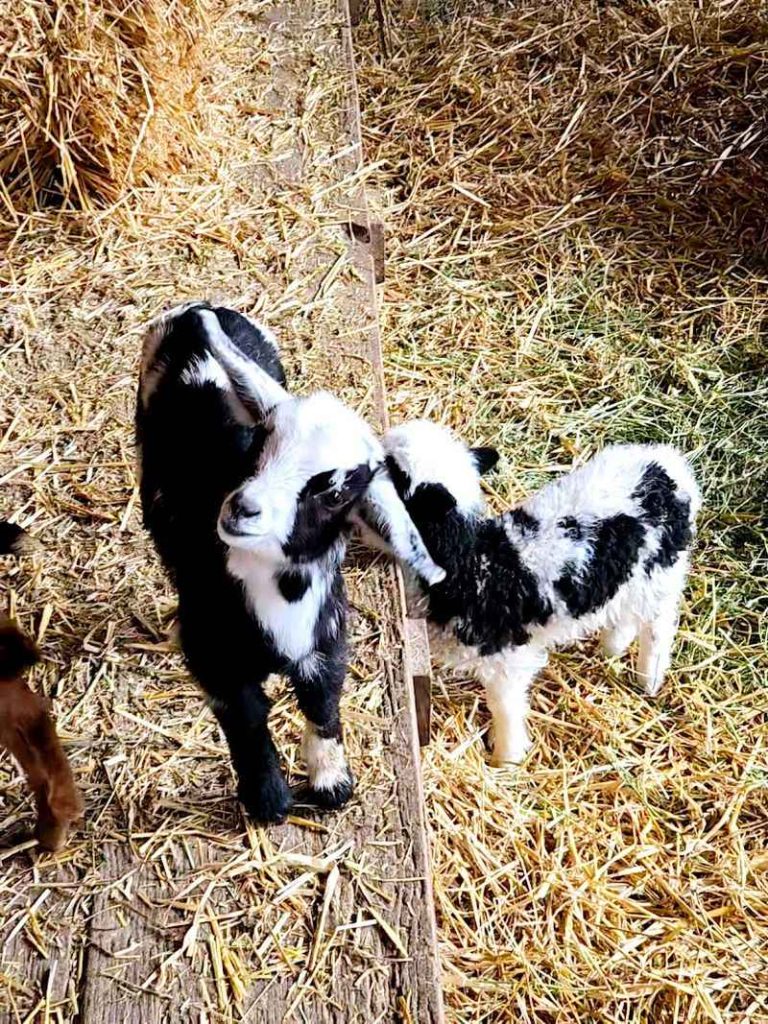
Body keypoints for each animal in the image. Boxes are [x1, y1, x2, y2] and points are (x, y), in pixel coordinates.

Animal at [136, 302, 444, 823]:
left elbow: (323, 707)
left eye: (335, 491)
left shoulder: (327, 639)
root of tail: (203, 307)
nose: (242, 508)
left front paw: (331, 782)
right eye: (258, 444)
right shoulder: (215, 658)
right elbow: (247, 723)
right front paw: (268, 798)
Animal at [358, 420, 701, 765]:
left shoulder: (508, 662)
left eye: (395, 469)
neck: (471, 564)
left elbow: (505, 708)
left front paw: (506, 759)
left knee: (658, 628)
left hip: (661, 577)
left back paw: (649, 678)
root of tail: (668, 469)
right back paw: (612, 647)